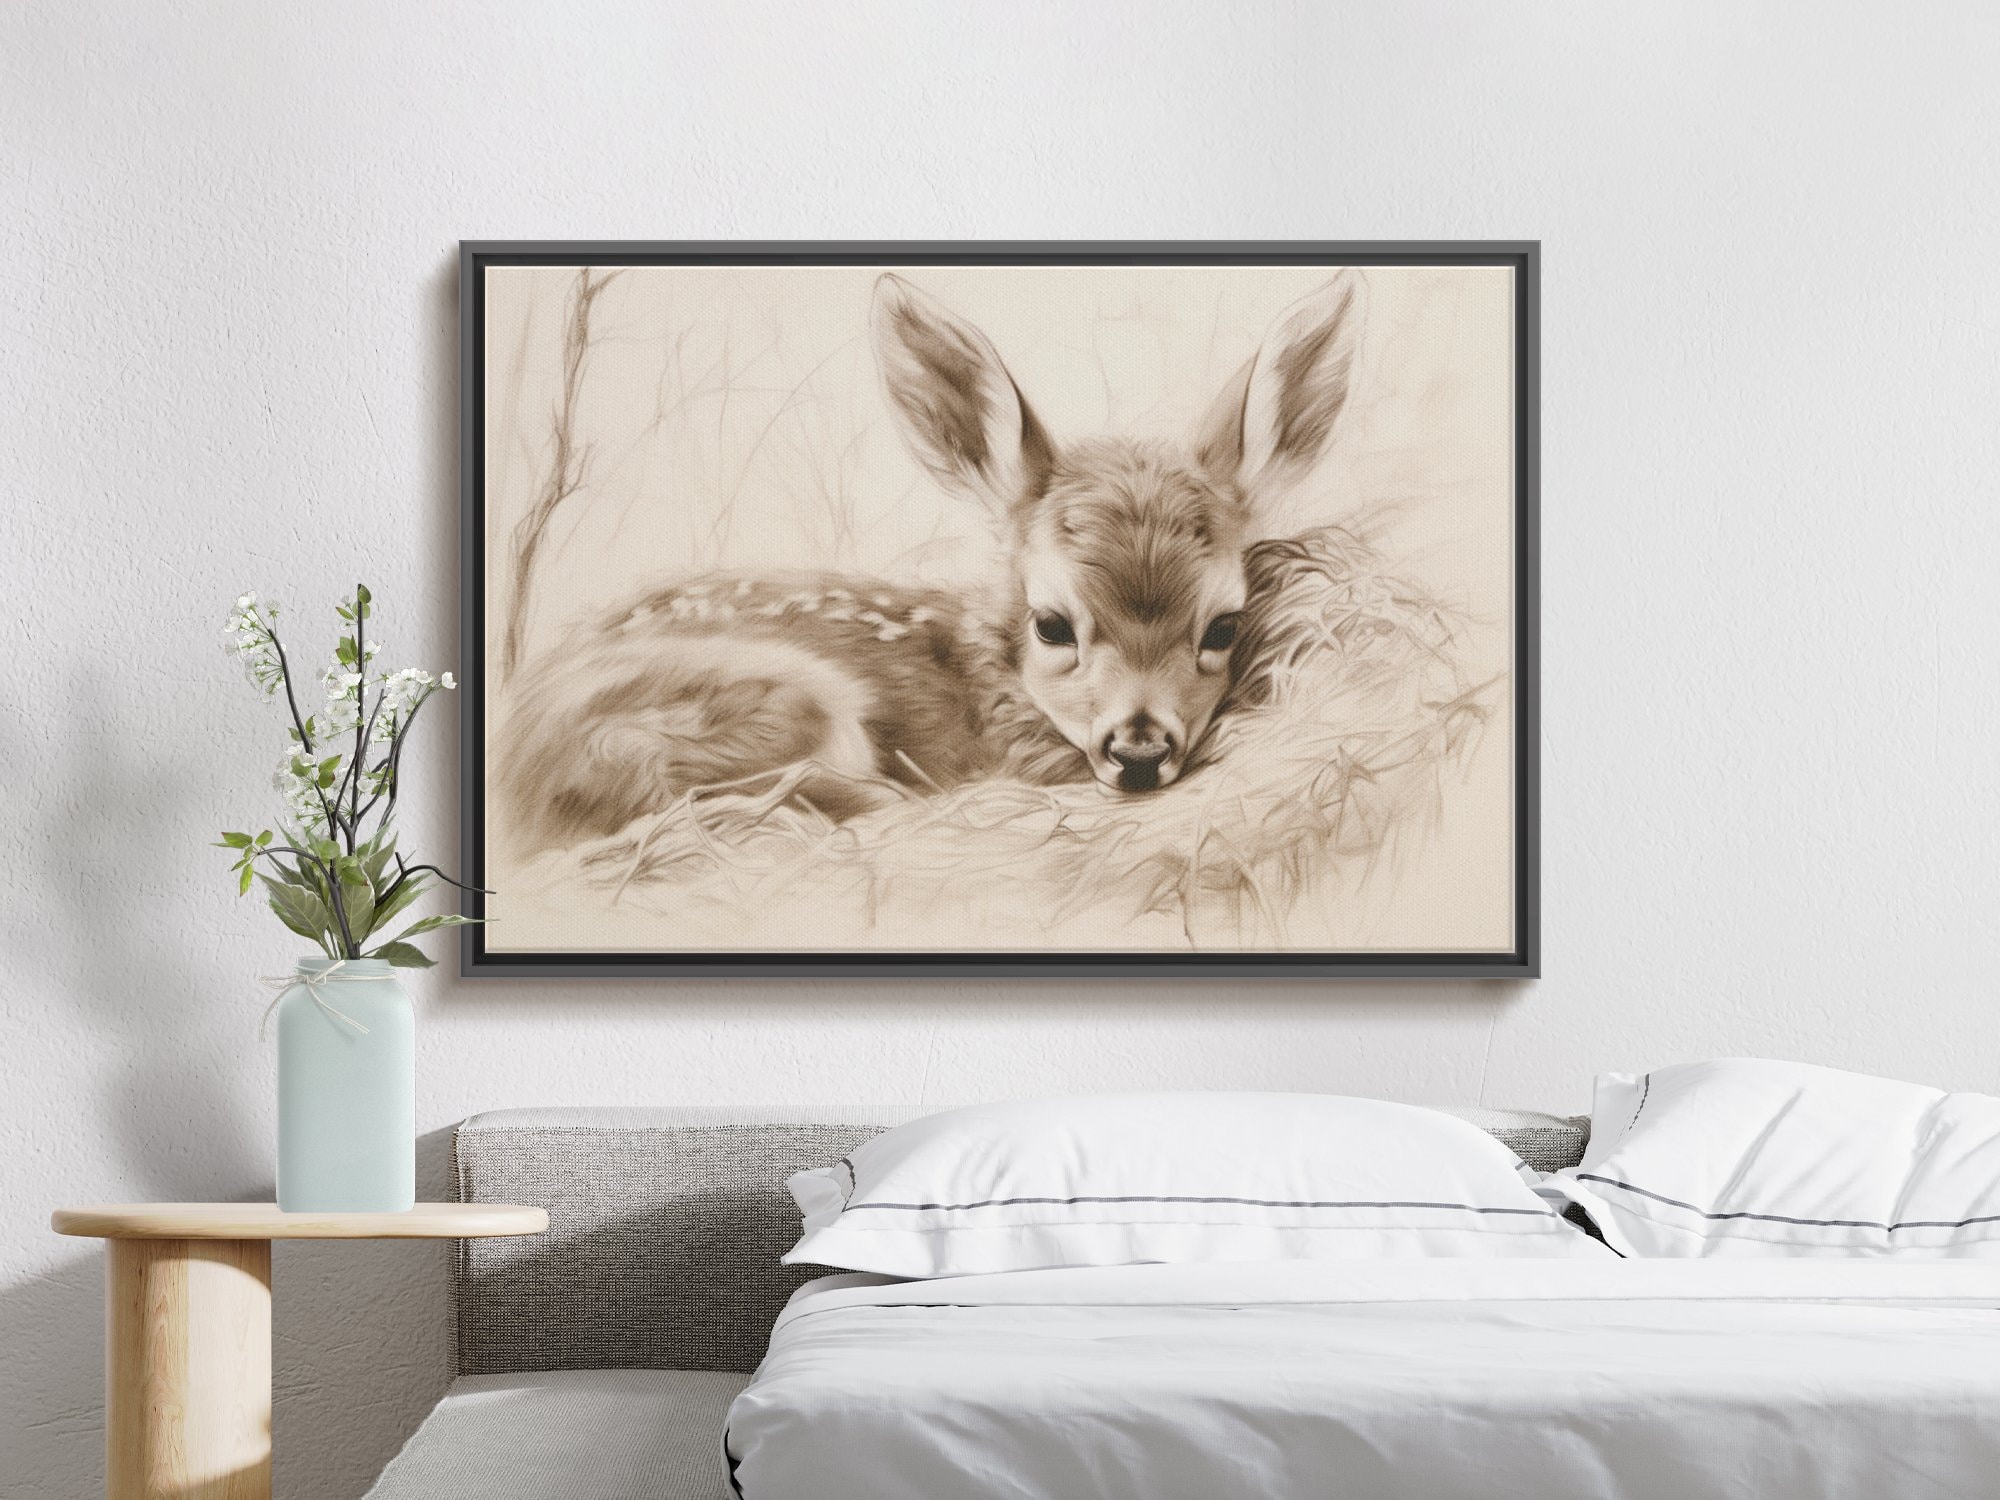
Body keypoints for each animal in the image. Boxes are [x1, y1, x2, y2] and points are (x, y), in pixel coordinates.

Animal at [496, 269, 1366, 854]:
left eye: (1223, 626)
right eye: (1052, 625)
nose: (1141, 752)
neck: (993, 685)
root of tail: (518, 764)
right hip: (774, 700)